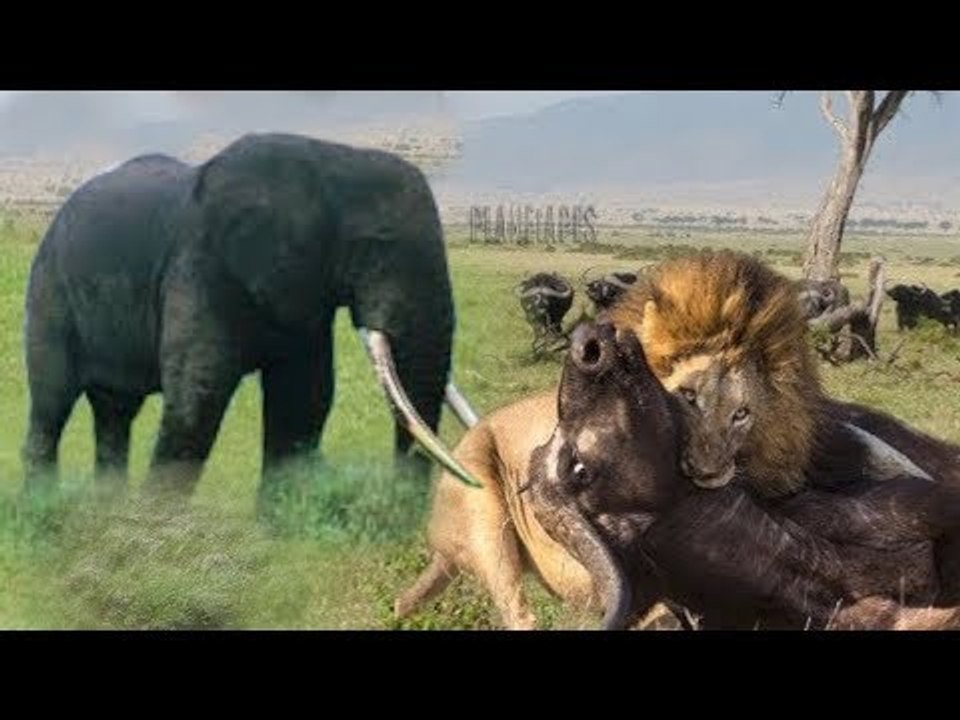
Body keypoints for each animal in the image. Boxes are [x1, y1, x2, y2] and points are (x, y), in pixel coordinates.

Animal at [22, 132, 482, 512]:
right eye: (375, 247)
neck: (331, 159)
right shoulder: (201, 265)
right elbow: (198, 395)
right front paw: (153, 532)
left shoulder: (302, 292)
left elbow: (302, 399)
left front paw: (272, 527)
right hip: (48, 289)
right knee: (52, 401)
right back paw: (45, 510)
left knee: (115, 413)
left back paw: (105, 510)